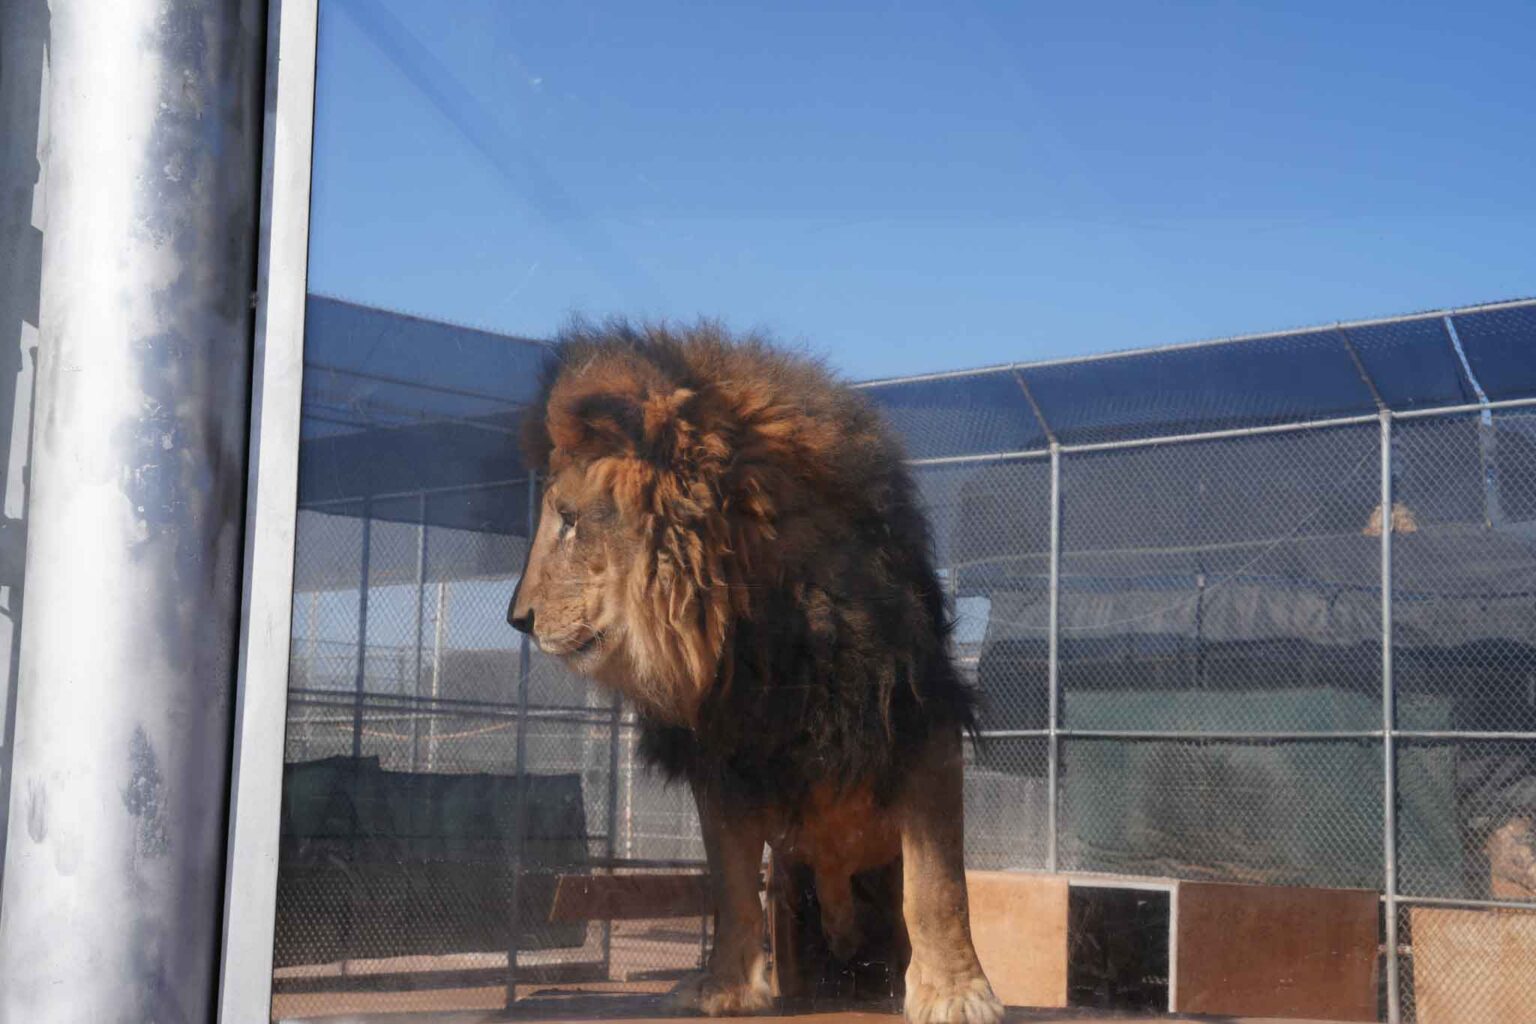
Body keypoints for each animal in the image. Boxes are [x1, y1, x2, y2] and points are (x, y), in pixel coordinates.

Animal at [508, 320, 1003, 1024]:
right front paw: (725, 988)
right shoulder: (725, 762)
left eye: (570, 521)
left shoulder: (919, 720)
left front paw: (957, 993)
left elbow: (937, 885)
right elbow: (733, 886)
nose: (516, 618)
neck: (753, 634)